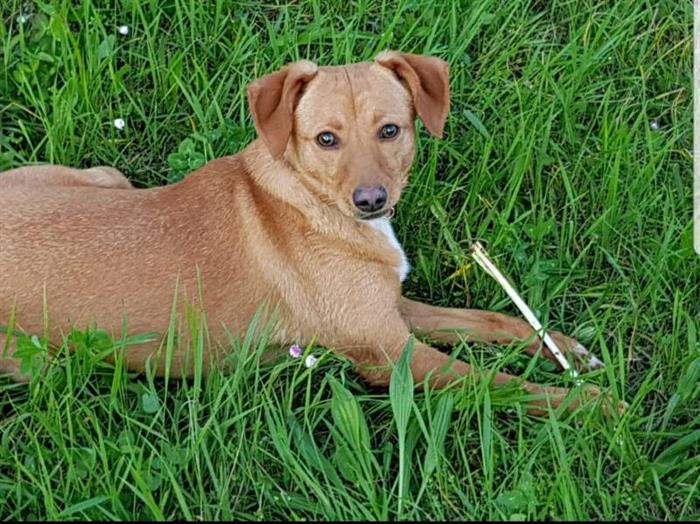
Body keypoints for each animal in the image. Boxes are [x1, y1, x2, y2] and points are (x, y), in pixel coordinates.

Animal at [0, 51, 612, 416]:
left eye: (391, 130)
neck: (310, 202)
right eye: (325, 139)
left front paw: (565, 349)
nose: (371, 202)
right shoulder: (393, 357)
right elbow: (503, 383)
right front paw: (602, 409)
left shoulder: (390, 312)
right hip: (44, 366)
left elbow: (488, 319)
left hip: (107, 177)